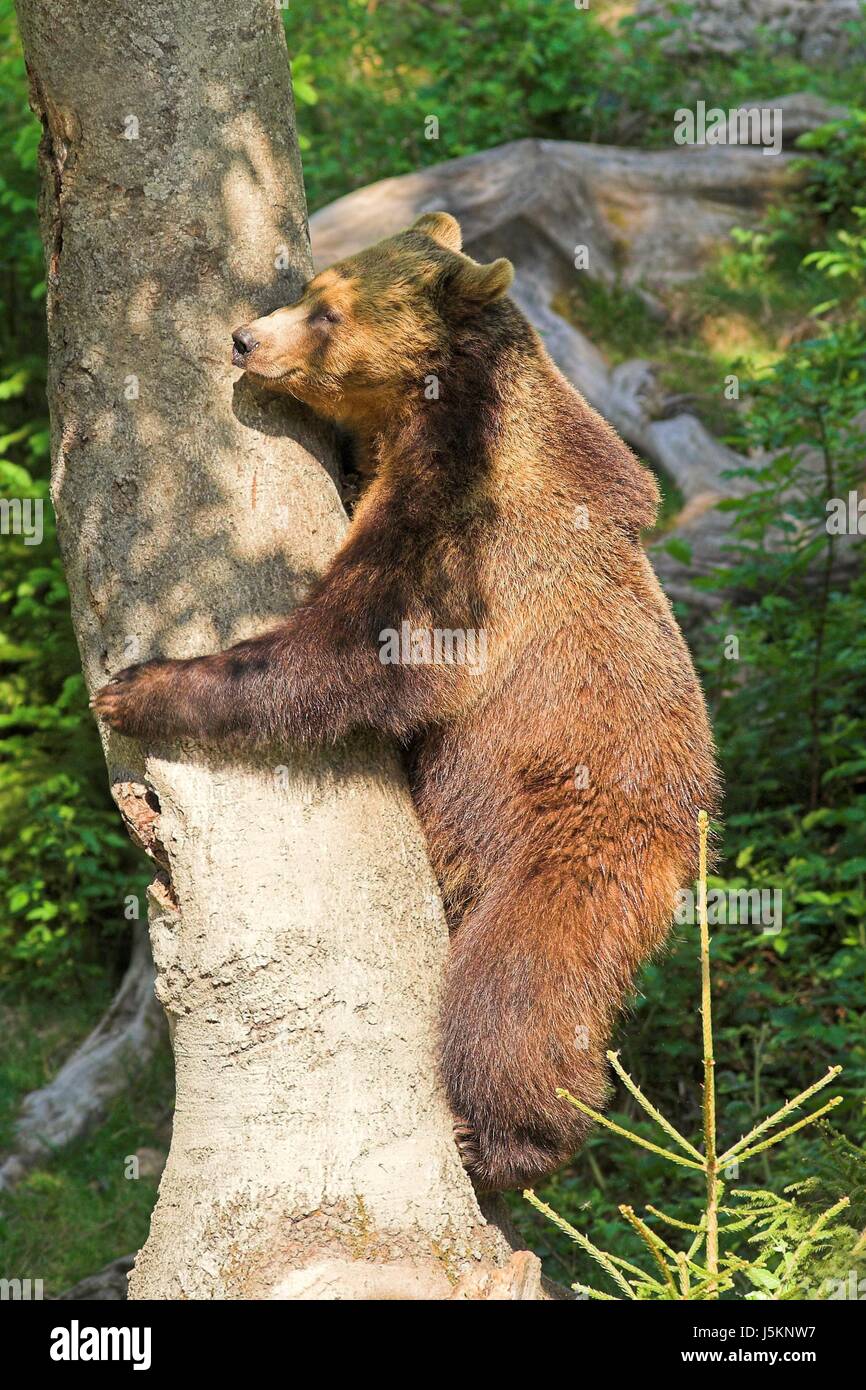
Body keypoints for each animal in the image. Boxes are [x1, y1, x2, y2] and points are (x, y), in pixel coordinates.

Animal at [94, 211, 720, 1192]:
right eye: (311, 287)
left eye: (328, 311)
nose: (244, 338)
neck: (426, 419)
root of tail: (688, 839)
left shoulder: (467, 533)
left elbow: (359, 651)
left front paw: (141, 686)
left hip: (565, 840)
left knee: (516, 995)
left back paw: (506, 1141)